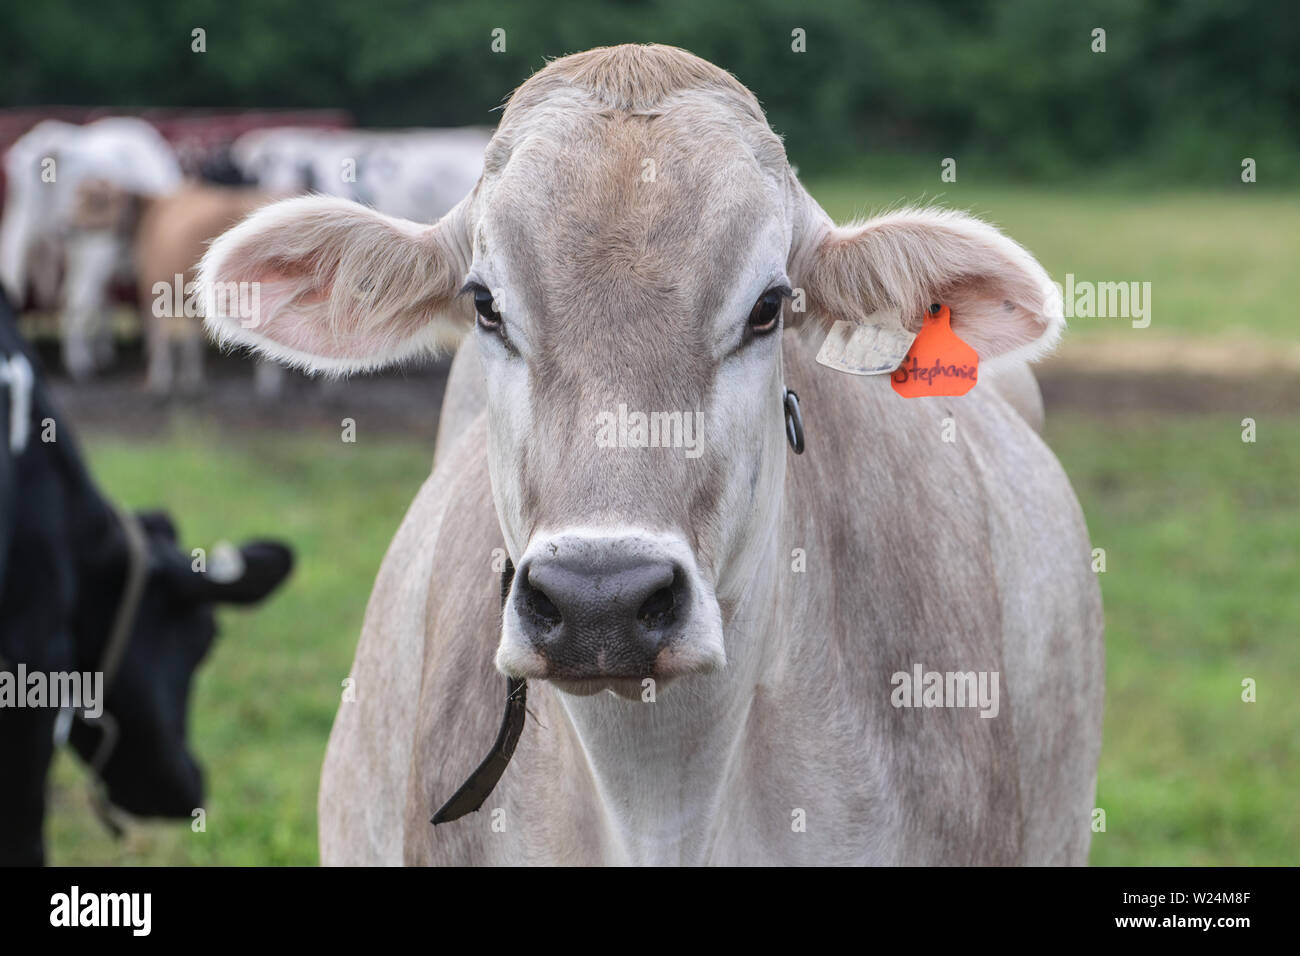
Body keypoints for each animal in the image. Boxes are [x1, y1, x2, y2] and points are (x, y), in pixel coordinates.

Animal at [0, 118, 182, 380]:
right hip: (92, 251)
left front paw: (105, 349)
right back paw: (79, 364)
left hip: (23, 234)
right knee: (76, 298)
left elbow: (107, 303)